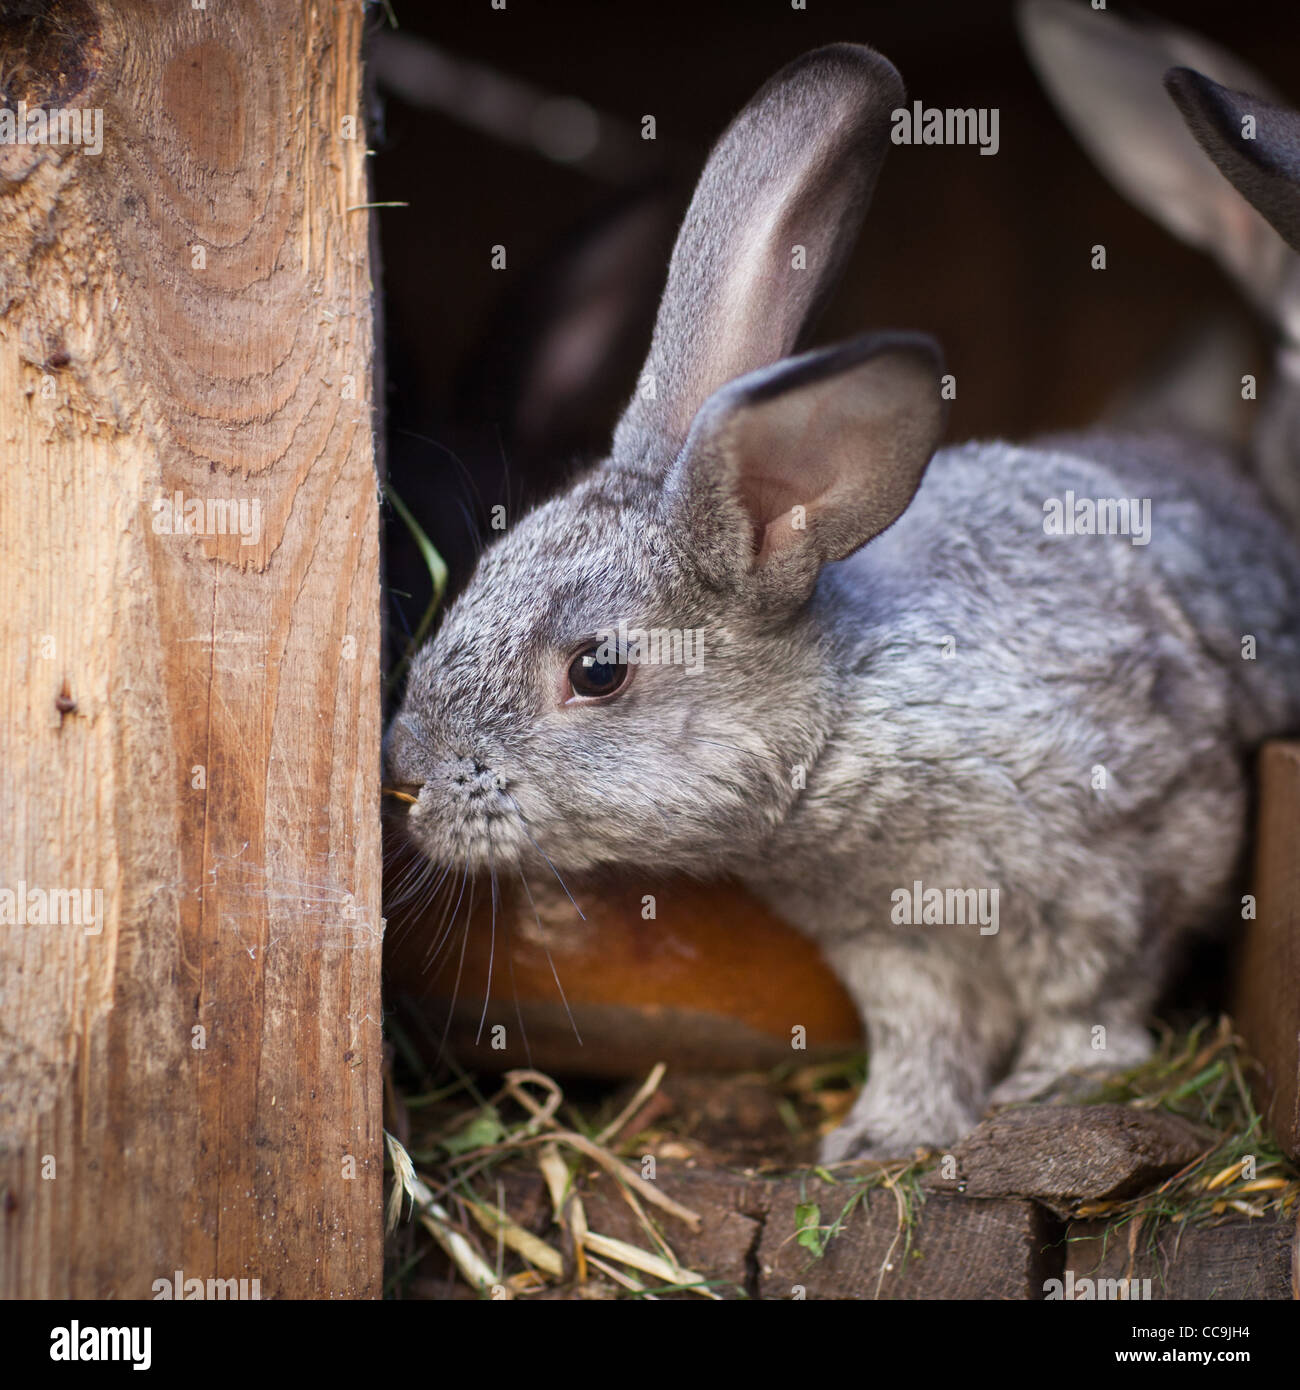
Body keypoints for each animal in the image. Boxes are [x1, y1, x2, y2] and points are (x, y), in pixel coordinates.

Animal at [385, 36, 1300, 1162]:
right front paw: (883, 1136)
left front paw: (1049, 1090)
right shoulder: (893, 950)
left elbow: (1091, 997)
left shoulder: (1134, 865)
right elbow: (924, 1035)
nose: (405, 768)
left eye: (596, 670)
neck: (841, 716)